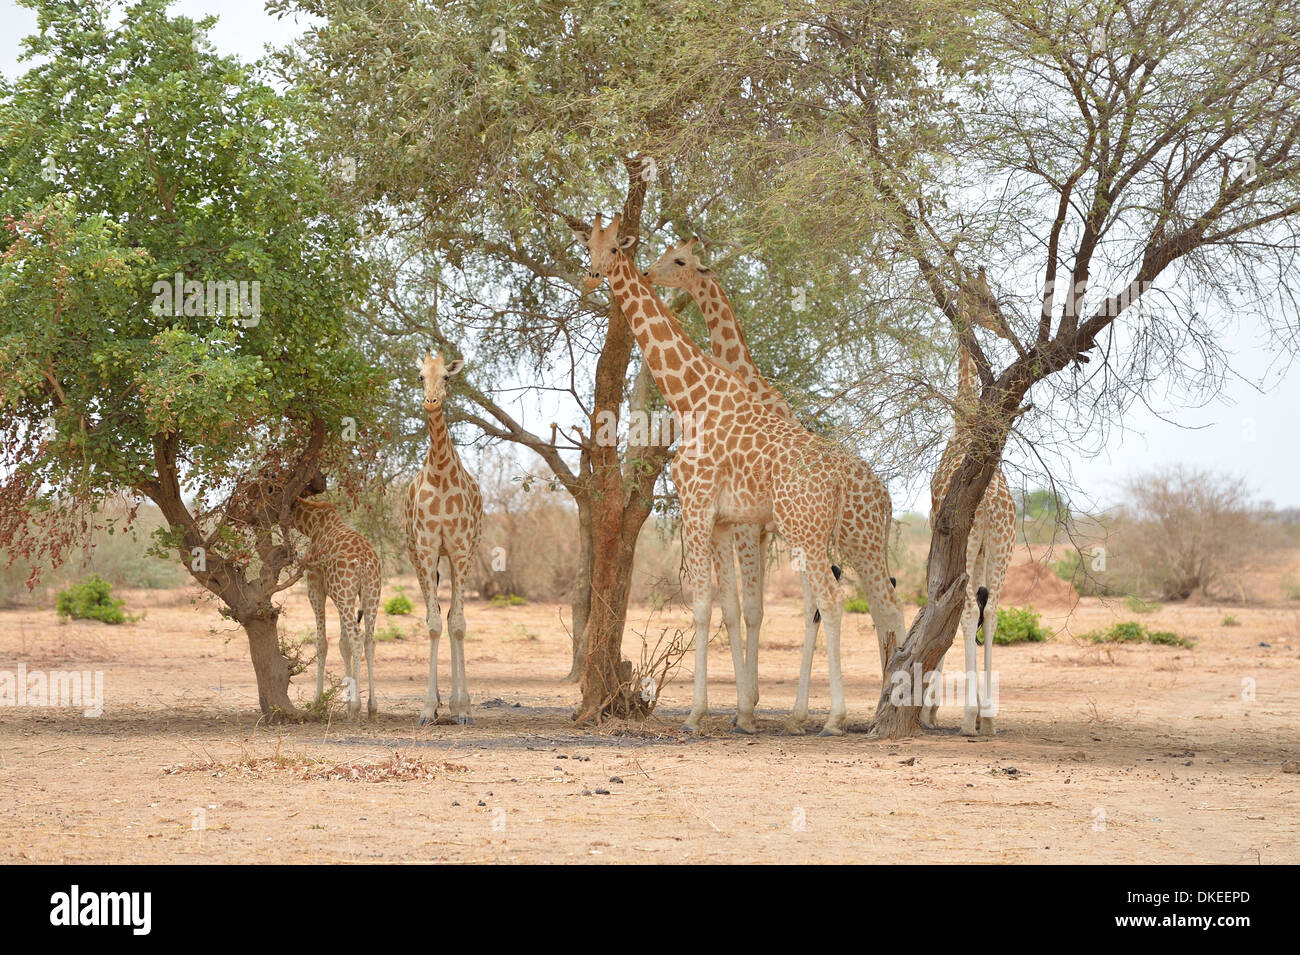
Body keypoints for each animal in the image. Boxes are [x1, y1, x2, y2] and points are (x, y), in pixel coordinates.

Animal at [290, 495, 382, 720]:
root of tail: (364, 561)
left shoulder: (315, 587)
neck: (312, 525)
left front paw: (317, 702)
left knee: (357, 637)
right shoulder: (341, 597)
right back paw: (371, 707)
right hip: (371, 593)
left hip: (346, 594)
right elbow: (343, 644)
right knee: (369, 640)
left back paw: (357, 706)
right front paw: (347, 701)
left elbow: (322, 644)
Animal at [574, 213, 856, 736]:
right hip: (811, 532)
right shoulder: (726, 519)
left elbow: (705, 606)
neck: (690, 397)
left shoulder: (699, 503)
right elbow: (728, 607)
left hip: (801, 531)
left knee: (829, 600)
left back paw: (830, 718)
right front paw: (742, 709)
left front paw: (697, 713)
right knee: (821, 600)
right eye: (589, 245)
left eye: (615, 247)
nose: (592, 274)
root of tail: (836, 479)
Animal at [645, 237, 905, 728]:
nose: (648, 274)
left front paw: (748, 707)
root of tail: (885, 496)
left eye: (679, 260)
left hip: (839, 538)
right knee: (876, 605)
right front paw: (747, 702)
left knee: (846, 605)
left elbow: (754, 608)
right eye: (664, 253)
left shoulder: (751, 526)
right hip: (841, 539)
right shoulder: (753, 527)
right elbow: (746, 608)